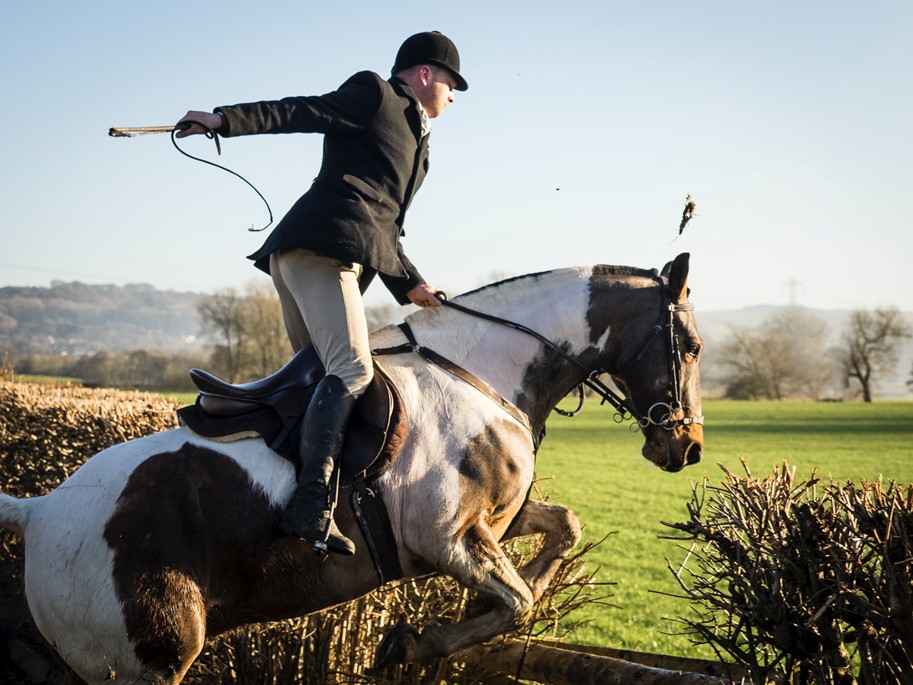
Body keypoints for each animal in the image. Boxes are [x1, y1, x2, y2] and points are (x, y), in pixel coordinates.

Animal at [0, 253, 703, 685]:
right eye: (693, 347)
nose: (689, 446)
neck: (482, 370)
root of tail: (39, 510)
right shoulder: (443, 537)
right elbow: (519, 601)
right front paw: (412, 643)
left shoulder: (493, 522)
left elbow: (563, 531)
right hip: (146, 660)